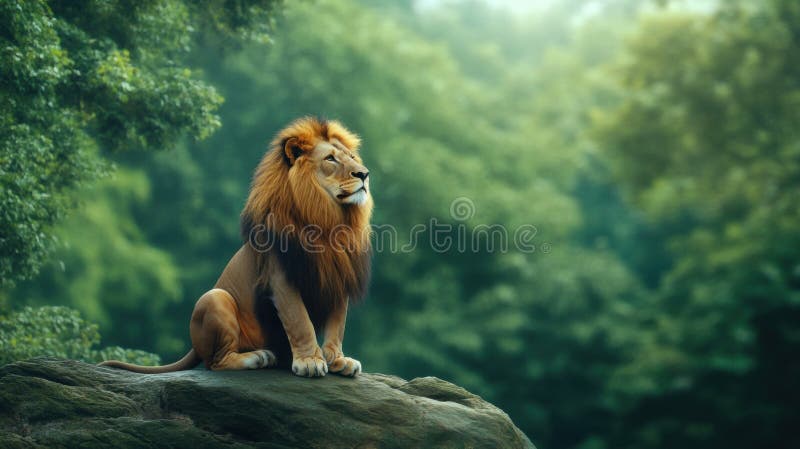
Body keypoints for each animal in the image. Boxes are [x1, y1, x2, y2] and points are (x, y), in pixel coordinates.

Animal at [100, 117, 372, 377]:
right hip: (215, 298)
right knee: (216, 362)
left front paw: (337, 360)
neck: (329, 222)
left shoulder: (341, 276)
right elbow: (300, 322)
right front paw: (310, 362)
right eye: (330, 159)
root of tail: (193, 345)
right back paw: (258, 357)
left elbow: (337, 326)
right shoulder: (281, 277)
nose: (364, 174)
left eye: (352, 158)